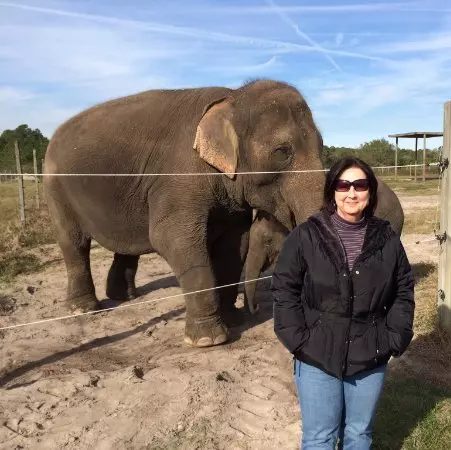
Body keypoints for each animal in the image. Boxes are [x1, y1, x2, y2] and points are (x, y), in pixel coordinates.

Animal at [44, 79, 326, 348]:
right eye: (281, 152)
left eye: (322, 147)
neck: (233, 97)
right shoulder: (177, 177)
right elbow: (171, 239)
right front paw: (208, 340)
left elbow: (234, 246)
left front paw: (233, 320)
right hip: (55, 187)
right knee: (74, 243)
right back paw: (83, 309)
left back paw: (124, 296)